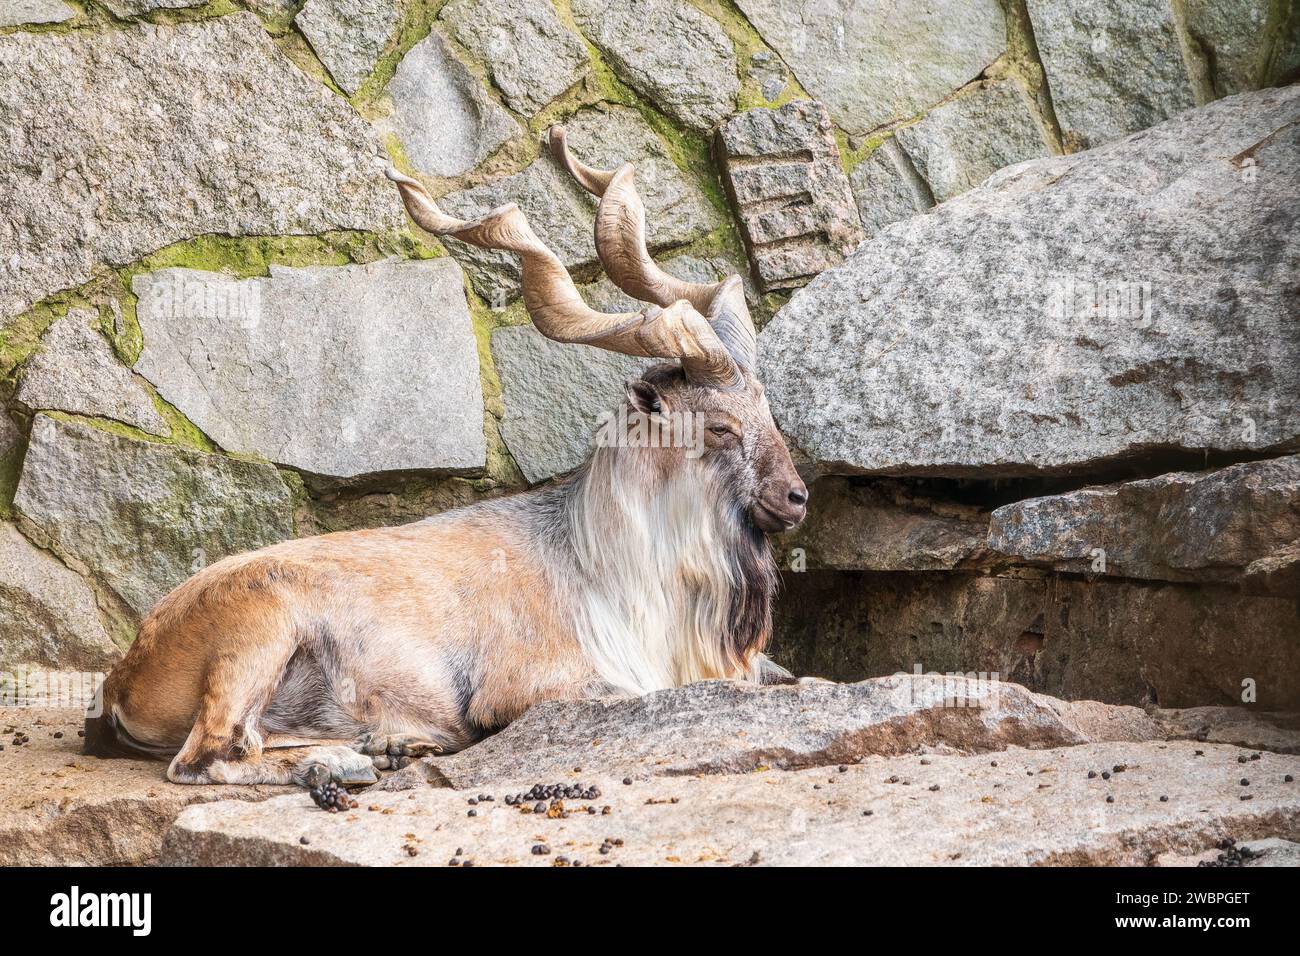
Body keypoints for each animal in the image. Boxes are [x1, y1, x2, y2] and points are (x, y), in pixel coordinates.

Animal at [83, 126, 810, 787]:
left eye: (765, 407)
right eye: (718, 426)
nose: (795, 498)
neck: (597, 560)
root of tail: (123, 677)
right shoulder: (539, 684)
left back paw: (393, 745)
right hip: (259, 631)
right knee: (208, 756)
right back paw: (347, 764)